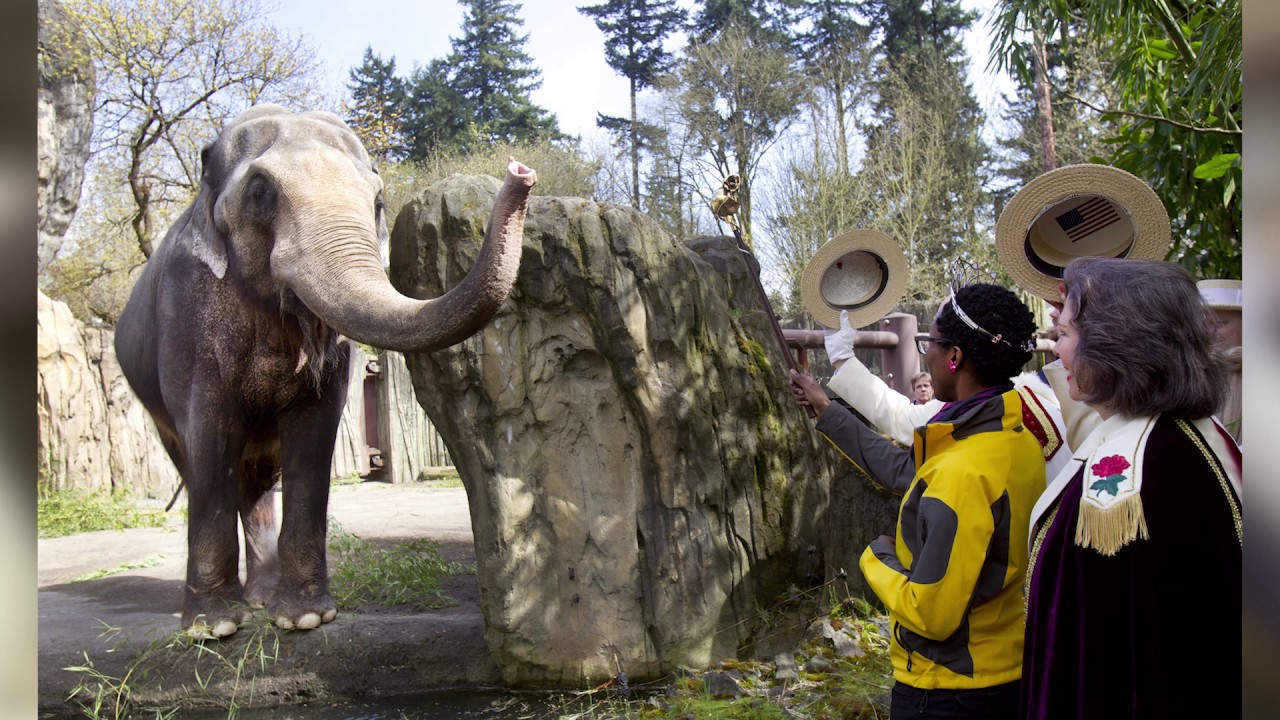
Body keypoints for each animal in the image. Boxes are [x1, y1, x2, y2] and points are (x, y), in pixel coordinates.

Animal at [114, 104, 536, 638]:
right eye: (260, 192)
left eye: (378, 201)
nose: (520, 171)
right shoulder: (187, 318)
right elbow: (208, 434)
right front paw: (214, 629)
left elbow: (314, 434)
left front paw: (305, 619)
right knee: (197, 465)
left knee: (257, 481)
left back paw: (260, 600)